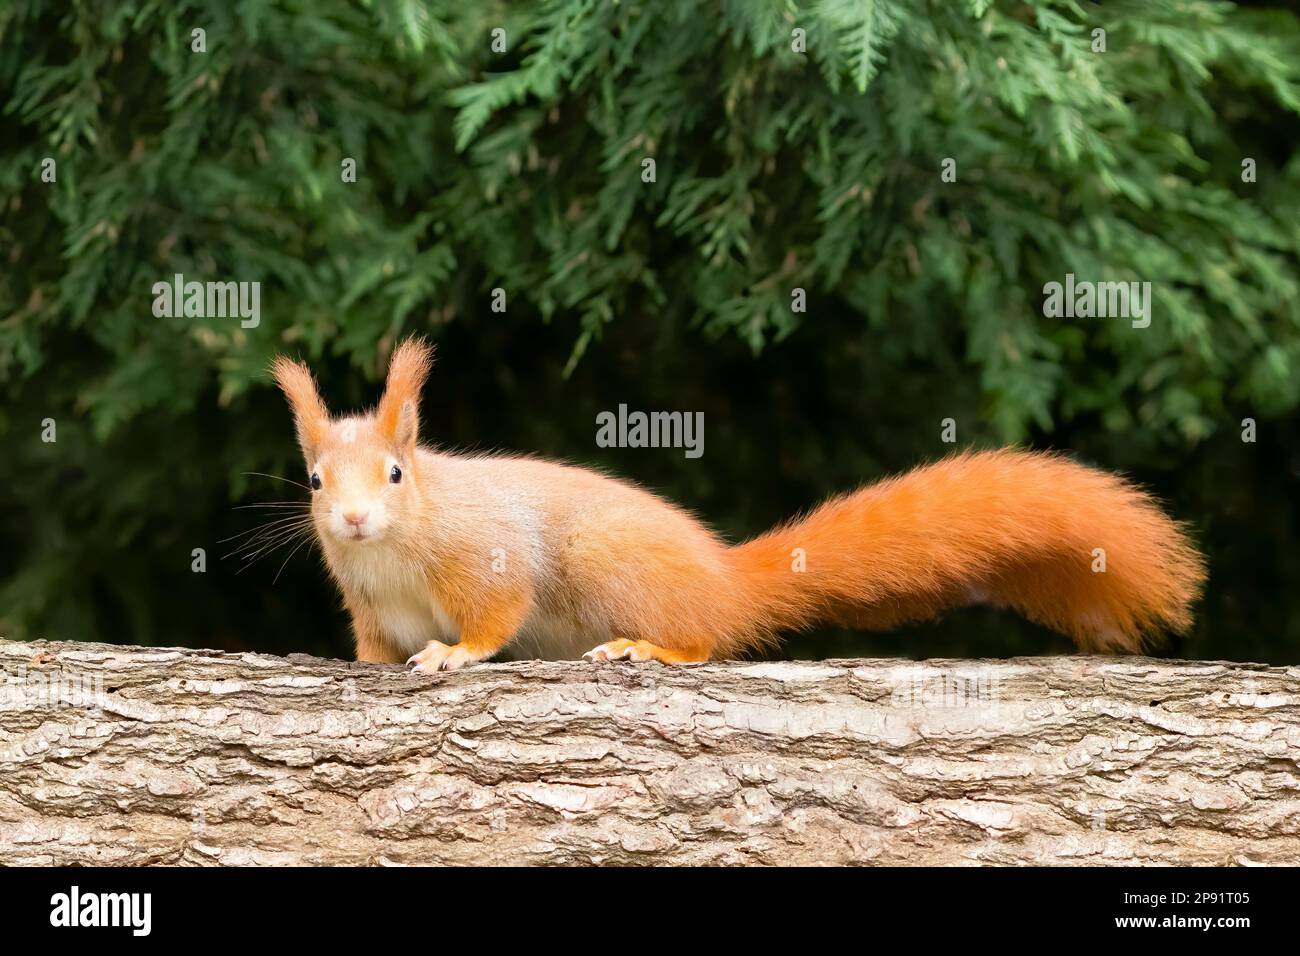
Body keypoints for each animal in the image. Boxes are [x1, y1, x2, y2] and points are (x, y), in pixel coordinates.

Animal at [272, 338, 1206, 671]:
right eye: (315, 481)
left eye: (397, 473)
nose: (352, 520)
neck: (391, 553)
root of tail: (726, 579)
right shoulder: (368, 602)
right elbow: (372, 645)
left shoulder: (486, 554)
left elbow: (496, 614)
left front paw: (454, 655)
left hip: (609, 567)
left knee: (704, 643)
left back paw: (648, 649)